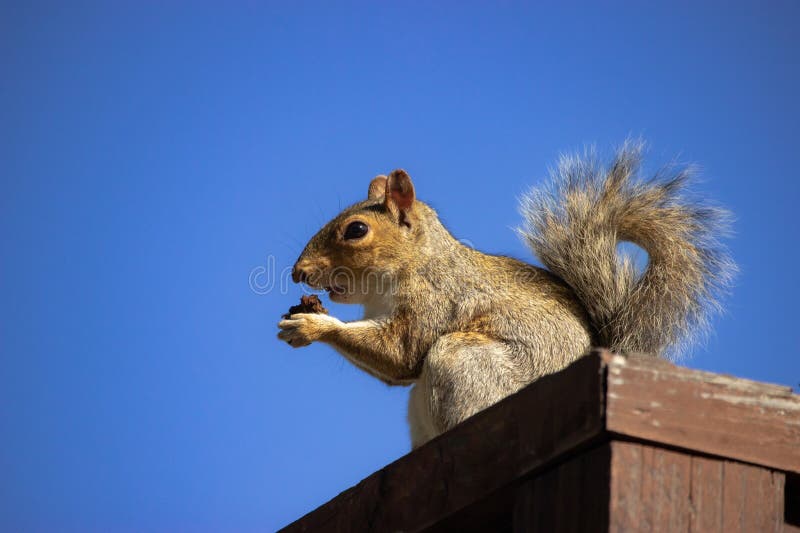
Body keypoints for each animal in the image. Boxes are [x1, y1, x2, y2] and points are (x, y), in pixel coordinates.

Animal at [277, 141, 735, 448]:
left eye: (356, 230)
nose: (299, 272)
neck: (416, 262)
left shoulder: (435, 300)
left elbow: (401, 353)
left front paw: (312, 325)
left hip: (465, 361)